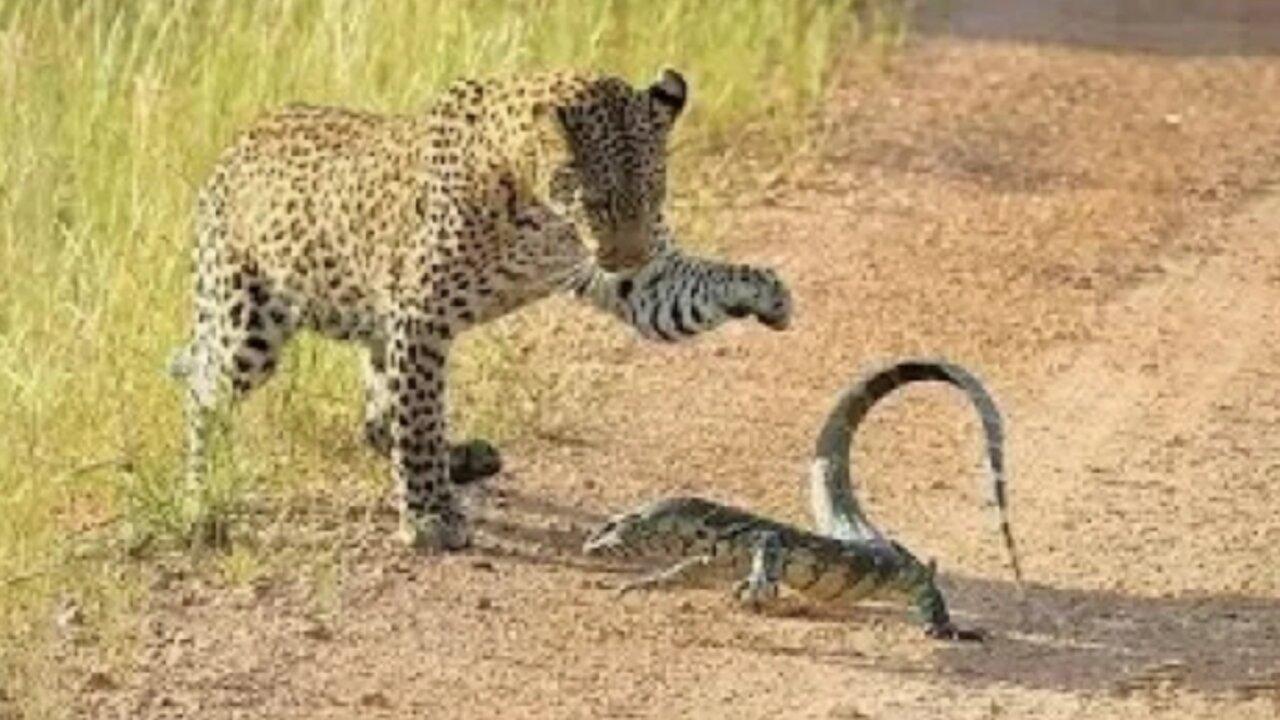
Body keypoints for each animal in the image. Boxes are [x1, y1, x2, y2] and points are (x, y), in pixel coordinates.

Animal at [171, 68, 792, 552]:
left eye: (654, 195)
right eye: (598, 202)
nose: (627, 257)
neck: (545, 216)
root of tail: (240, 141)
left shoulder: (645, 283)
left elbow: (693, 286)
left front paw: (766, 291)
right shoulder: (421, 315)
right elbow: (420, 420)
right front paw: (429, 518)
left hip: (372, 331)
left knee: (375, 418)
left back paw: (467, 458)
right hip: (245, 322)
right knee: (204, 390)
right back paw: (199, 500)